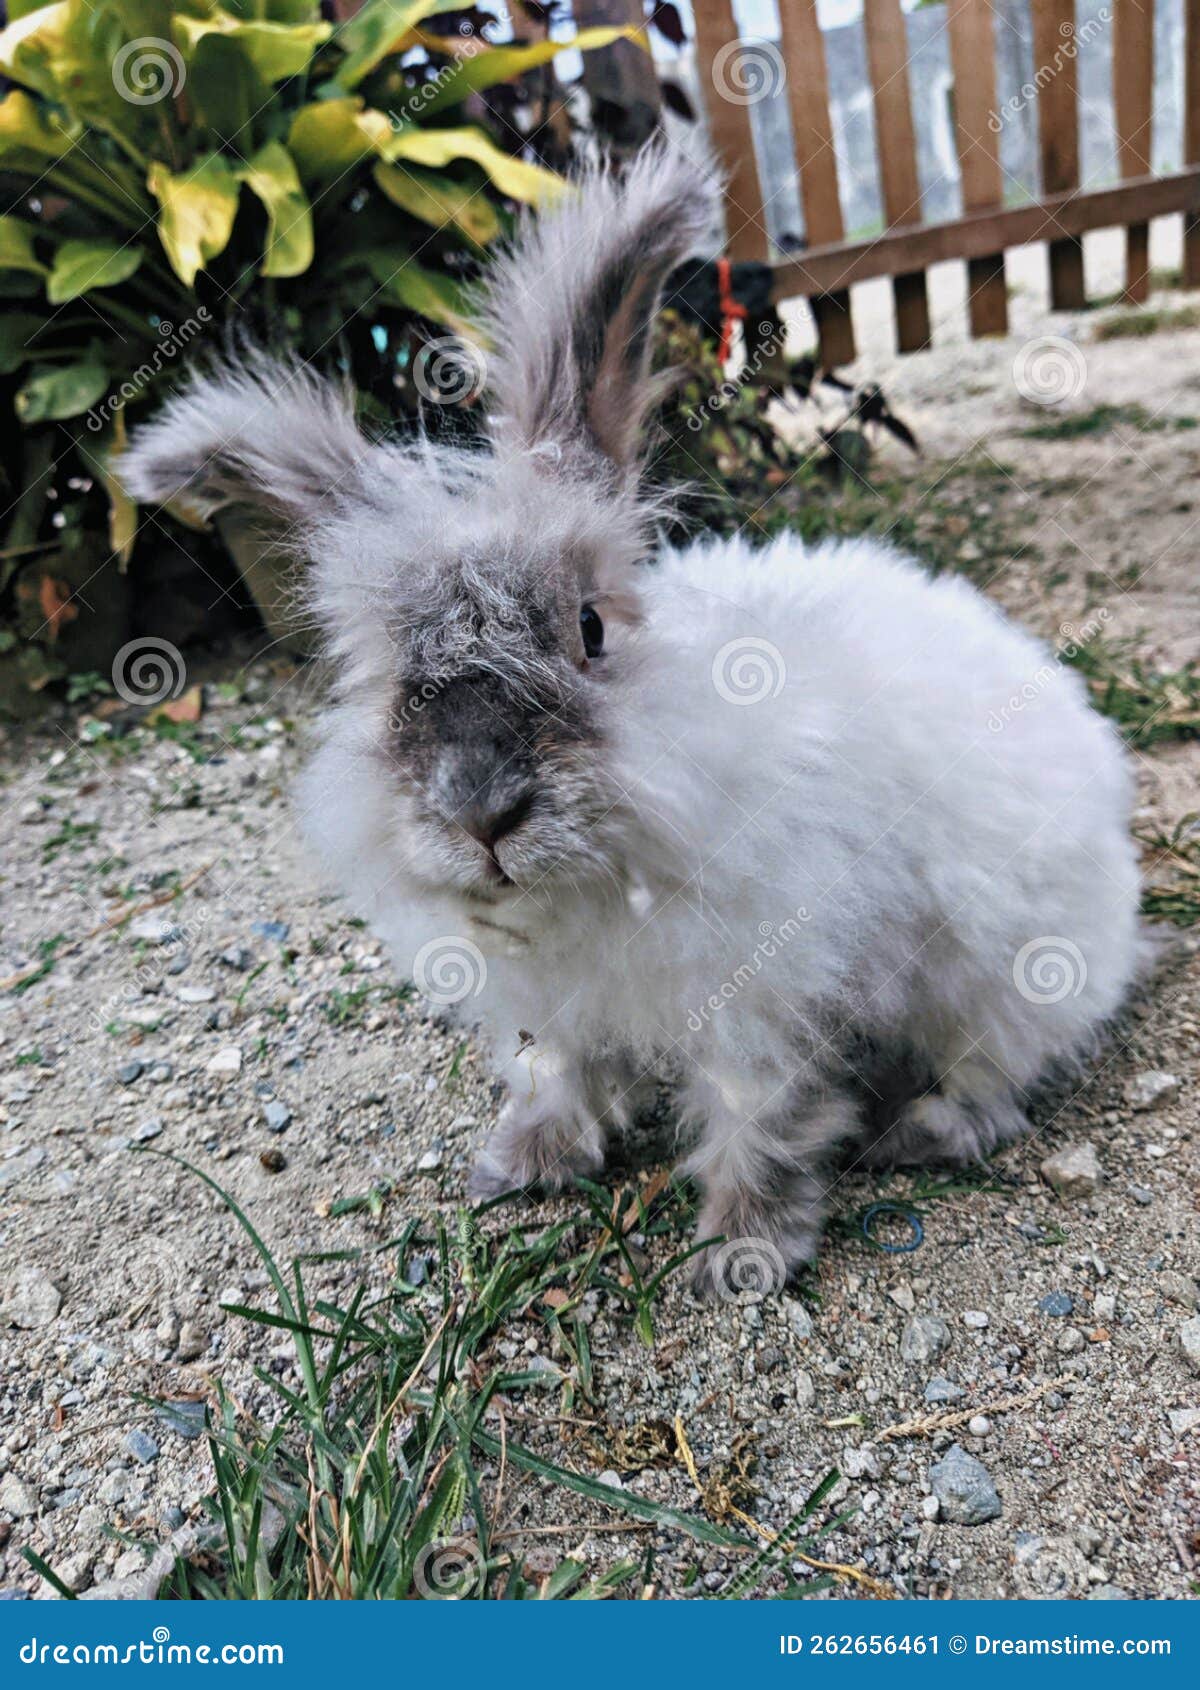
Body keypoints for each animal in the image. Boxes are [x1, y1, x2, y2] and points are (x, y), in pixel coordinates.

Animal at [120, 144, 1142, 1295]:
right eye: (385, 678)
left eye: (590, 628)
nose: (482, 812)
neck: (593, 885)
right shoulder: (546, 1004)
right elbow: (555, 1070)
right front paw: (521, 1166)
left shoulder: (759, 995)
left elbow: (755, 1116)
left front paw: (743, 1252)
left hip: (1002, 977)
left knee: (996, 1084)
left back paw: (914, 1132)